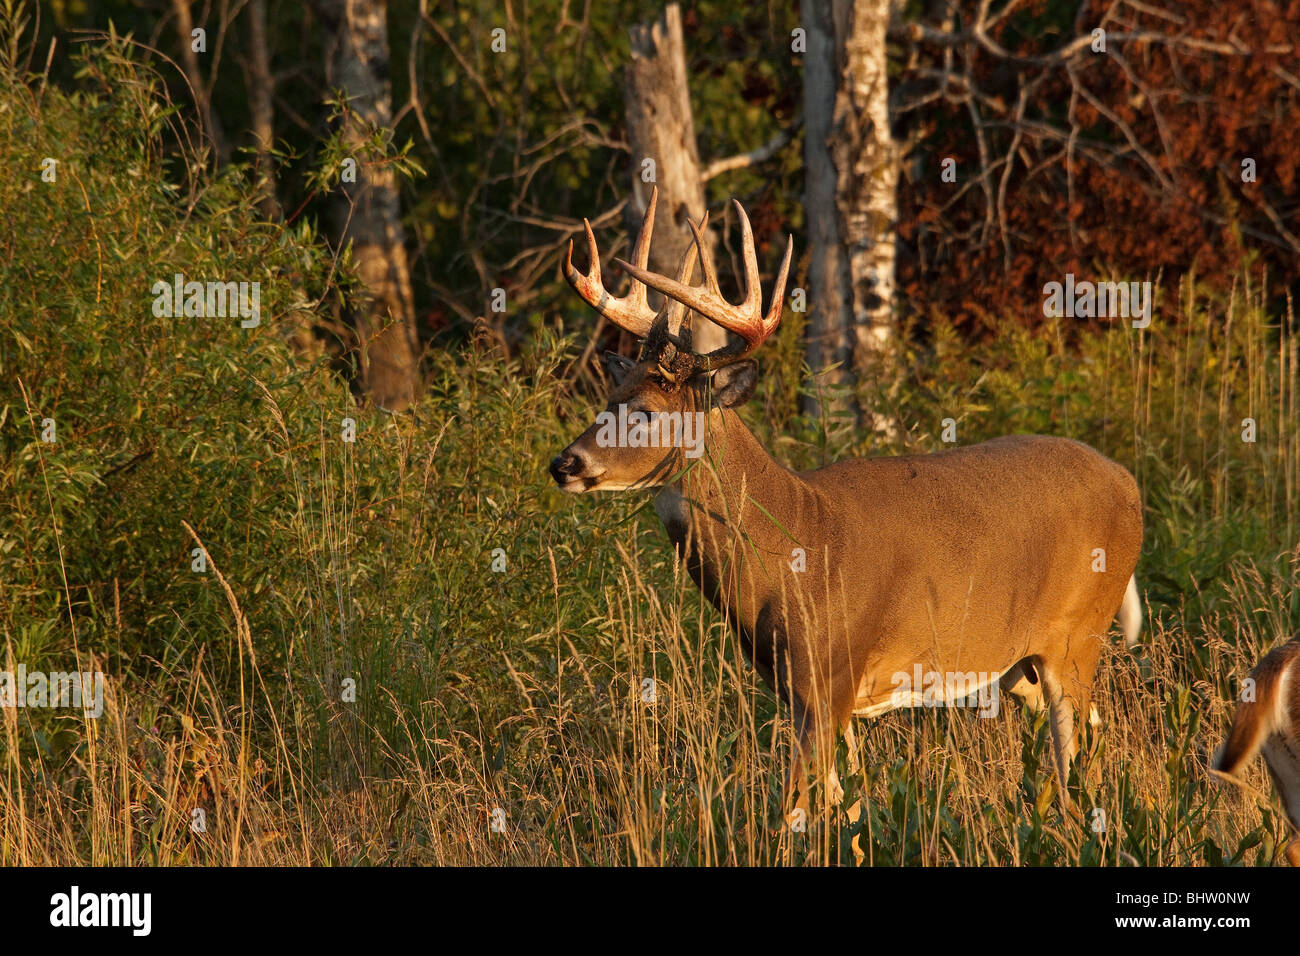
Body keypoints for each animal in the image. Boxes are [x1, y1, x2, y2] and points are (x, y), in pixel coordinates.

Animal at [550, 187, 1145, 822]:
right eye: (609, 396)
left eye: (646, 411)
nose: (565, 464)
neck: (792, 550)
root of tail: (1130, 484)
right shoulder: (800, 693)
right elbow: (848, 809)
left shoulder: (830, 675)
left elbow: (795, 811)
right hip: (1018, 664)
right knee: (1095, 736)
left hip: (1077, 635)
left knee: (1076, 753)